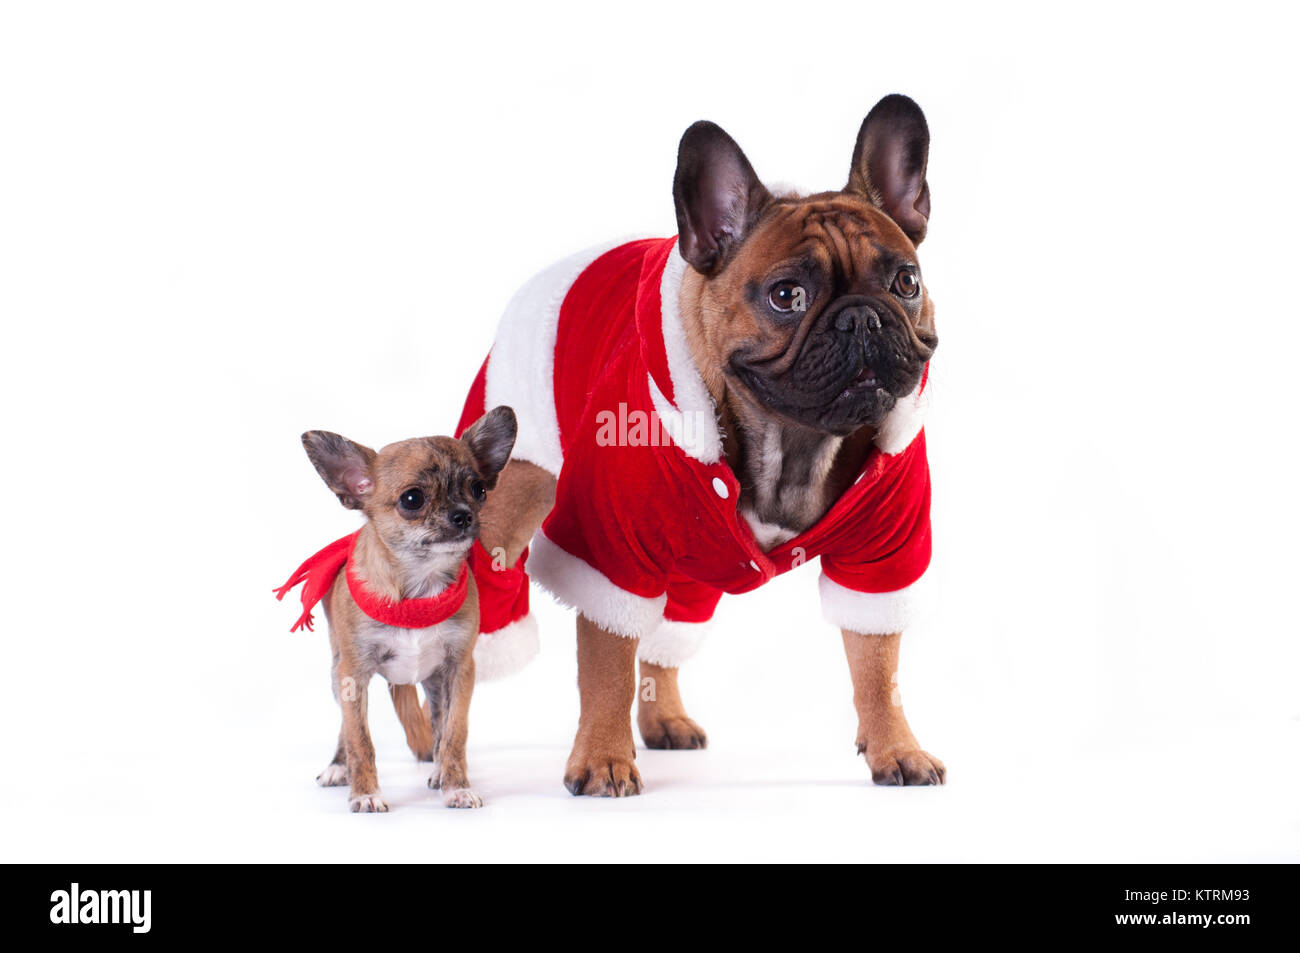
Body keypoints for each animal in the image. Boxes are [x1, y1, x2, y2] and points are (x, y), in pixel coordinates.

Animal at [278, 408, 517, 811]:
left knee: (438, 723)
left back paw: (437, 772)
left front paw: (456, 785)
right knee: (346, 727)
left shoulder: (459, 671)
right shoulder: (353, 675)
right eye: (412, 499)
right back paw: (338, 767)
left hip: (433, 682)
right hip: (338, 672)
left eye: (479, 490)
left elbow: (454, 733)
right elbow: (360, 740)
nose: (463, 514)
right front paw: (366, 793)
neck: (419, 586)